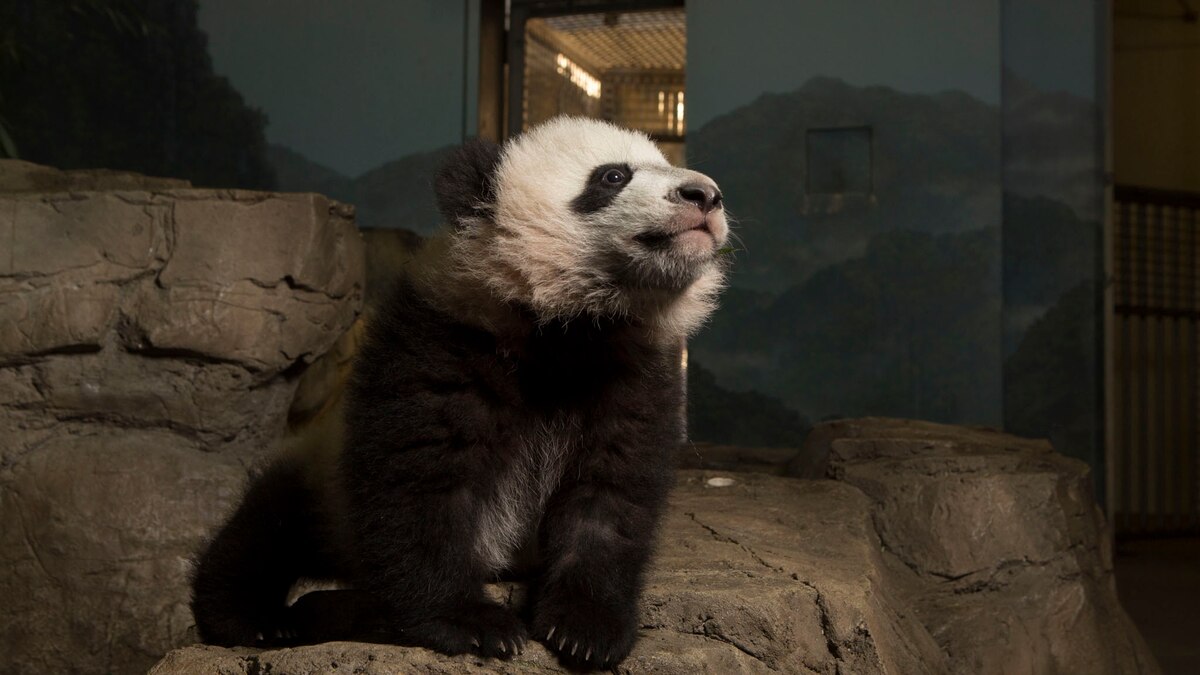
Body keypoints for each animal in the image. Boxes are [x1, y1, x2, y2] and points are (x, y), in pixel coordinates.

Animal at [190, 116, 729, 671]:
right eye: (613, 176)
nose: (705, 194)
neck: (568, 322)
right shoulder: (447, 337)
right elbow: (424, 480)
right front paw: (474, 624)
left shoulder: (632, 370)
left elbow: (611, 491)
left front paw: (586, 628)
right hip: (323, 481)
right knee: (267, 529)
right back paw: (257, 619)